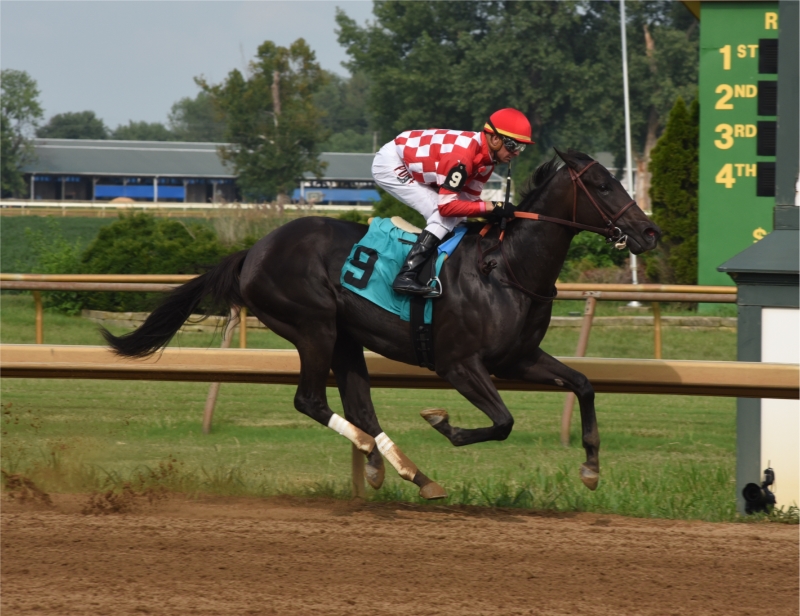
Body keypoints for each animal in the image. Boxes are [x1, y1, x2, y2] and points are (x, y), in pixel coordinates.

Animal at [103, 148, 661, 500]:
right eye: (603, 184)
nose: (650, 232)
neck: (507, 268)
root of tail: (254, 251)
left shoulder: (518, 358)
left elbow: (583, 384)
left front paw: (591, 469)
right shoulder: (459, 364)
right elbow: (503, 422)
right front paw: (443, 423)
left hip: (346, 339)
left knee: (361, 408)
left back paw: (408, 471)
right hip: (314, 327)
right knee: (312, 401)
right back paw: (381, 456)